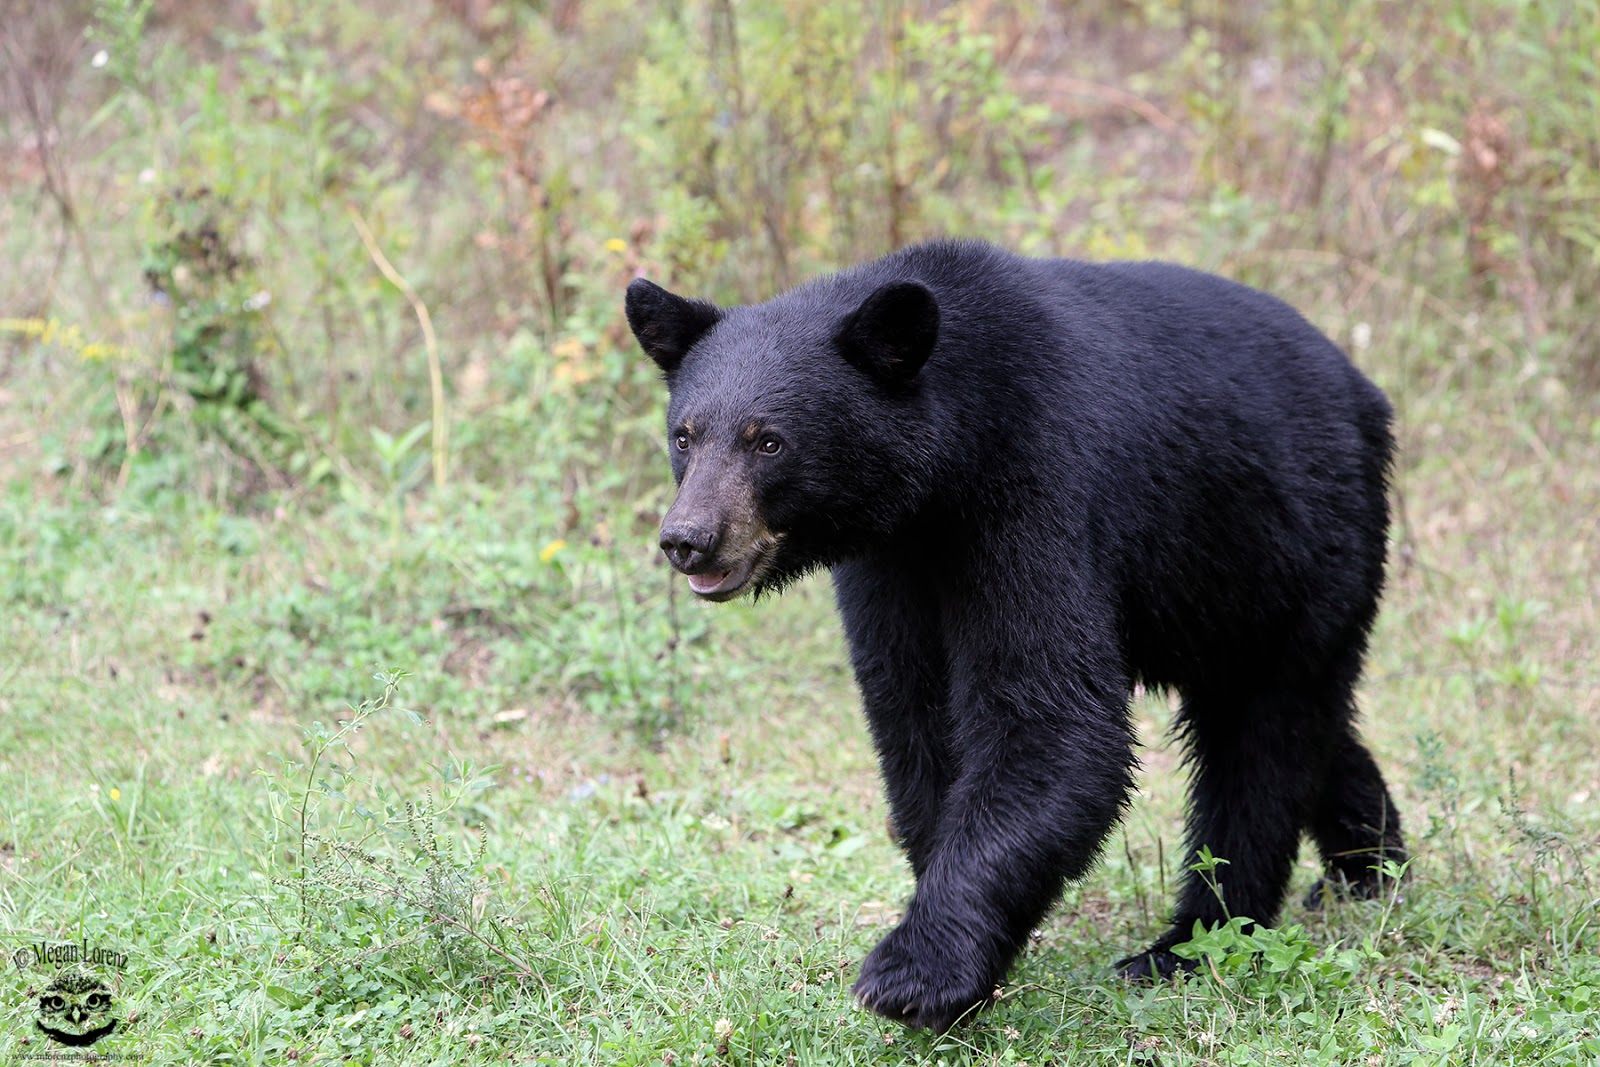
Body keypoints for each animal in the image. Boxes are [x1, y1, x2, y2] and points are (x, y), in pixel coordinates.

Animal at [624, 239, 1406, 1032]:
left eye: (769, 442)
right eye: (684, 435)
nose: (688, 539)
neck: (945, 470)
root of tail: (1361, 387)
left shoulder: (1036, 485)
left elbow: (1049, 714)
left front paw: (916, 974)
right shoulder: (894, 563)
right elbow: (916, 713)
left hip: (1295, 545)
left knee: (1265, 739)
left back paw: (1193, 941)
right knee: (1308, 728)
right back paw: (1367, 868)